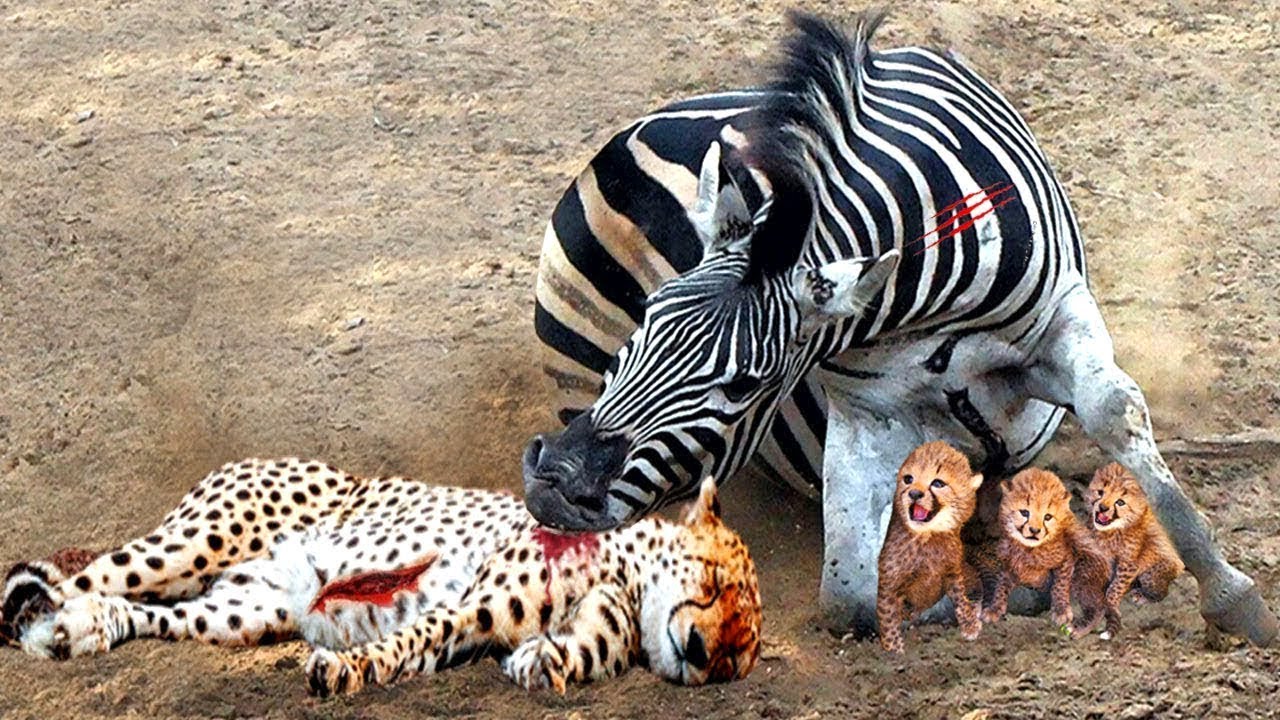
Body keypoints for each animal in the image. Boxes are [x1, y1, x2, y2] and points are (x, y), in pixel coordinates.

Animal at [0, 458, 762, 695]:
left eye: (736, 658)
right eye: (713, 584)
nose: (701, 652)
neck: (626, 575)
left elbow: (566, 655)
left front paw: (542, 662)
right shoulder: (474, 607)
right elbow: (406, 640)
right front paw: (343, 670)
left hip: (245, 613)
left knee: (149, 613)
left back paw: (78, 632)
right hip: (194, 543)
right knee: (69, 581)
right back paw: (56, 622)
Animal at [875, 441, 985, 653]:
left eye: (938, 483)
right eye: (908, 479)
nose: (914, 493)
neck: (929, 537)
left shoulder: (952, 573)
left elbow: (960, 599)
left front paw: (969, 623)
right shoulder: (889, 586)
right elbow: (888, 620)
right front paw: (894, 651)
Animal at [981, 467, 1117, 638]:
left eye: (1047, 517)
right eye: (1024, 512)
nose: (1034, 530)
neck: (1029, 548)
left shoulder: (1067, 558)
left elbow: (1060, 583)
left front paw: (1061, 611)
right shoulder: (1011, 567)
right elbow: (1001, 585)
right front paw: (994, 608)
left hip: (1084, 571)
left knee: (1099, 606)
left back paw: (1078, 628)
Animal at [1088, 463, 1184, 611]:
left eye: (1120, 502)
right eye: (1100, 492)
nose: (1103, 508)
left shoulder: (1129, 564)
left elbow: (1118, 585)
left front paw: (1110, 603)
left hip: (1151, 573)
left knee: (1162, 593)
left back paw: (1142, 596)